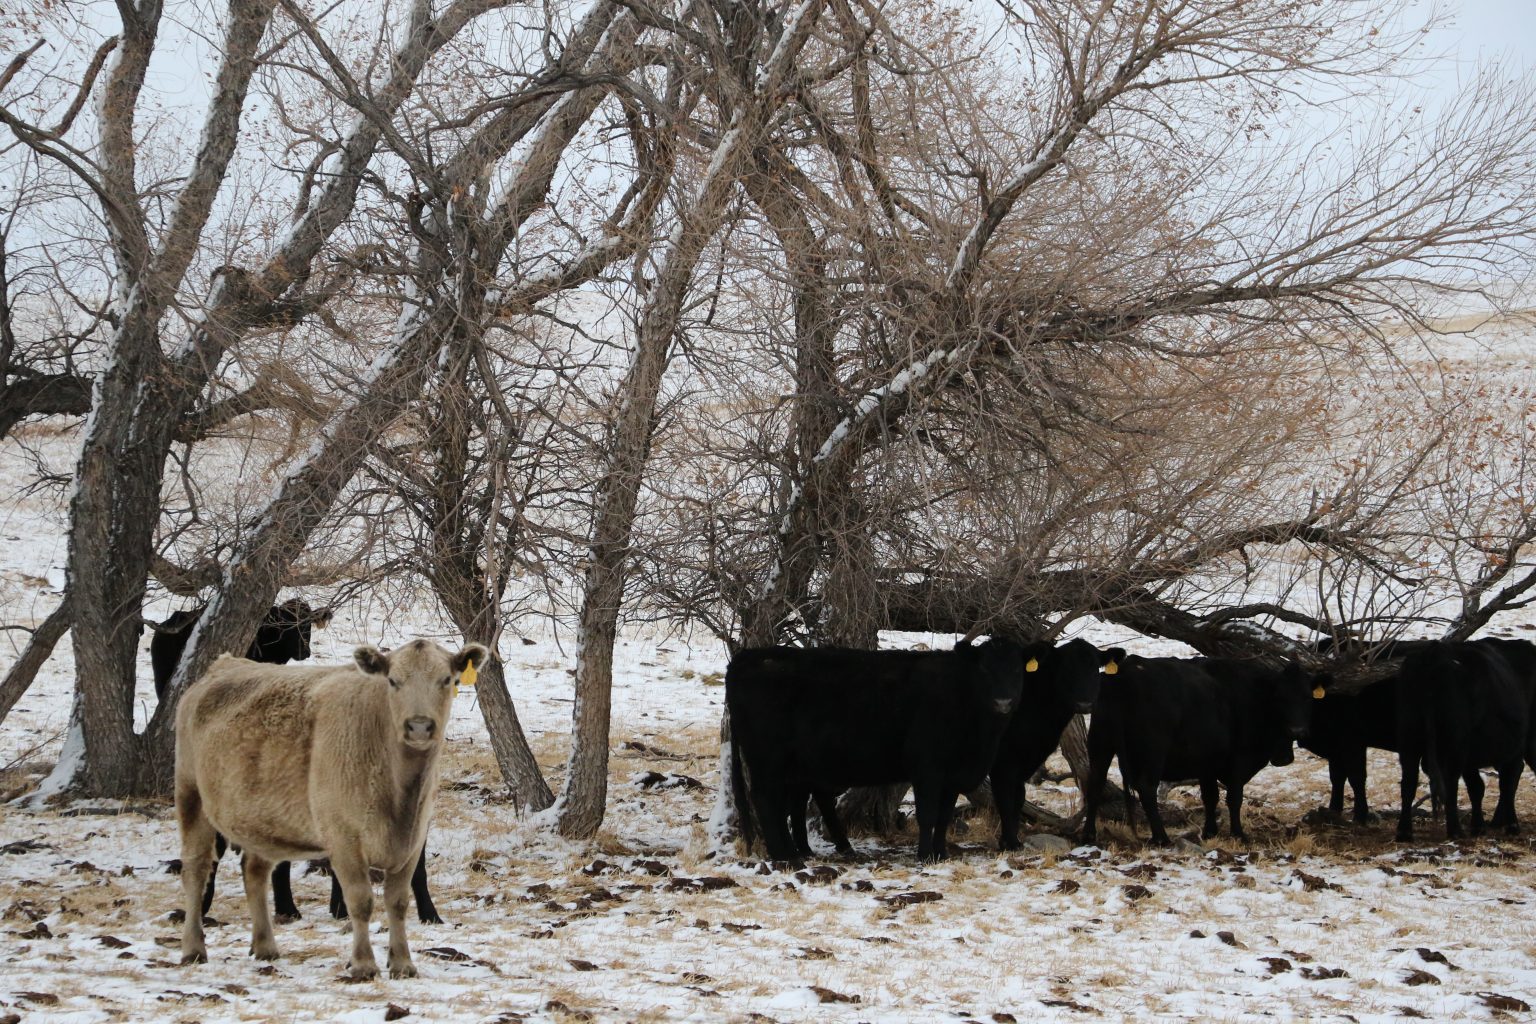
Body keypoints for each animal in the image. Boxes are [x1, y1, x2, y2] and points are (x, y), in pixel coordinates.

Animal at [175, 638, 485, 980]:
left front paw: (403, 963)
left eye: (447, 680)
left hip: (262, 820)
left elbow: (398, 901)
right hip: (191, 794)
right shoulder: (344, 838)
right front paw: (363, 964)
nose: (419, 726)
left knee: (254, 871)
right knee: (196, 870)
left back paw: (265, 946)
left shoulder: (413, 839)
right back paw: (193, 948)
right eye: (393, 681)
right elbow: (360, 901)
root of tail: (223, 665)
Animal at [727, 637, 1025, 863]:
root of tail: (748, 656)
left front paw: (940, 853)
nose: (1003, 702)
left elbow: (943, 816)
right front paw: (925, 855)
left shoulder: (952, 774)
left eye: (1018, 670)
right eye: (984, 669)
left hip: (792, 765)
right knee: (766, 799)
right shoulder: (927, 766)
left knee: (788, 805)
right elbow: (928, 814)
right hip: (768, 760)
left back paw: (796, 851)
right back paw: (783, 856)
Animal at [990, 639, 1123, 850]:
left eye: (1095, 670)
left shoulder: (1026, 758)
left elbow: (1019, 797)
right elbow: (1005, 797)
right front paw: (1009, 843)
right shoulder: (1004, 759)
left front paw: (1011, 840)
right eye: (1066, 668)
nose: (1084, 704)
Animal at [1081, 655, 1327, 846]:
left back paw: (1089, 835)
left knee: (1095, 783)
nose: (1298, 730)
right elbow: (1234, 798)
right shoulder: (1238, 760)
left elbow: (1210, 796)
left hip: (1100, 744)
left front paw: (1210, 832)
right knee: (1147, 788)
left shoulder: (1207, 762)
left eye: (1308, 697)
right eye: (1280, 698)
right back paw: (1161, 837)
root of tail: (1125, 671)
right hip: (1153, 751)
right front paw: (1238, 834)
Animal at [1393, 638, 1536, 842]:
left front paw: (1480, 826)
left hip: (1410, 737)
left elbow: (1479, 786)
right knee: (1450, 782)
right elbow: (1501, 783)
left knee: (1409, 782)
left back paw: (1404, 832)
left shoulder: (1473, 755)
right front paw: (1507, 825)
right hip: (1454, 743)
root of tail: (1433, 654)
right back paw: (1455, 830)